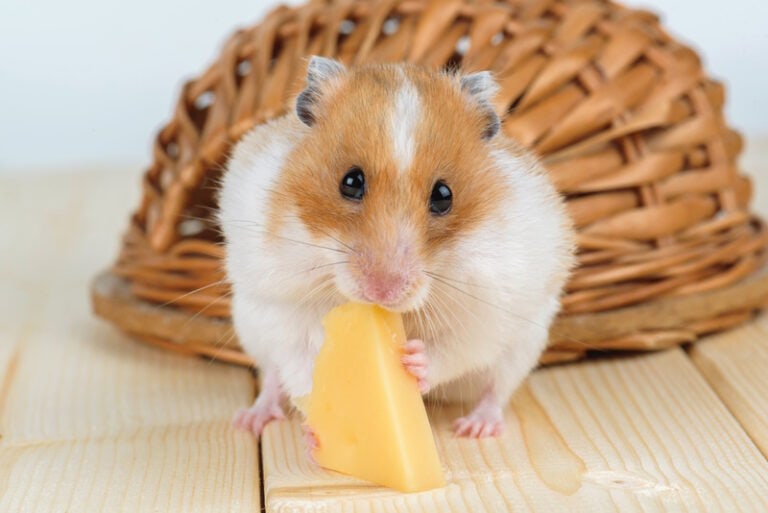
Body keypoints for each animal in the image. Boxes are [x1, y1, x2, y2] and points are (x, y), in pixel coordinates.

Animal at [218, 56, 575, 440]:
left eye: (444, 196)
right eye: (350, 182)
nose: (382, 292)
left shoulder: (485, 311)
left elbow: (453, 348)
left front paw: (414, 361)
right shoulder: (279, 302)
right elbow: (298, 361)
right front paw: (316, 424)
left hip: (522, 347)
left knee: (495, 389)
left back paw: (476, 428)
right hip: (251, 329)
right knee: (271, 376)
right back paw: (251, 419)